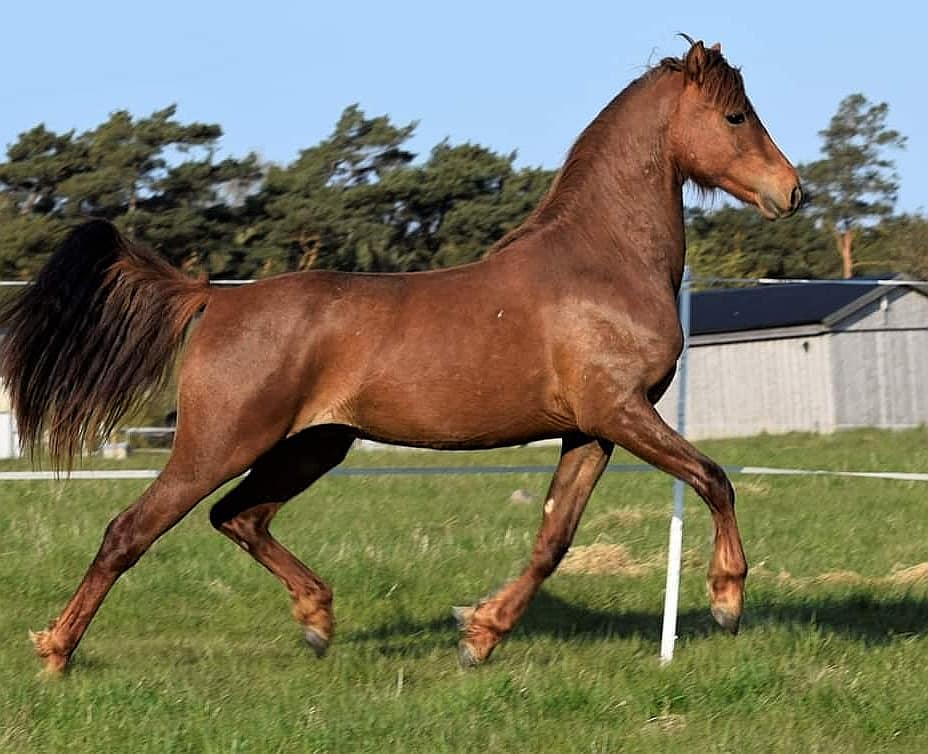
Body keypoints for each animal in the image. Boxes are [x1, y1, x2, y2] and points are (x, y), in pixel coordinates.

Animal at [2, 38, 801, 673]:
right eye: (736, 116)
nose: (791, 192)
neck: (601, 262)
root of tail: (214, 300)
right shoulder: (622, 411)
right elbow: (714, 478)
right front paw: (727, 600)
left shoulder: (592, 430)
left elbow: (553, 538)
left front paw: (480, 636)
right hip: (219, 443)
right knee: (131, 530)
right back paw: (56, 652)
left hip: (313, 444)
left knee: (239, 517)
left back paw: (318, 621)